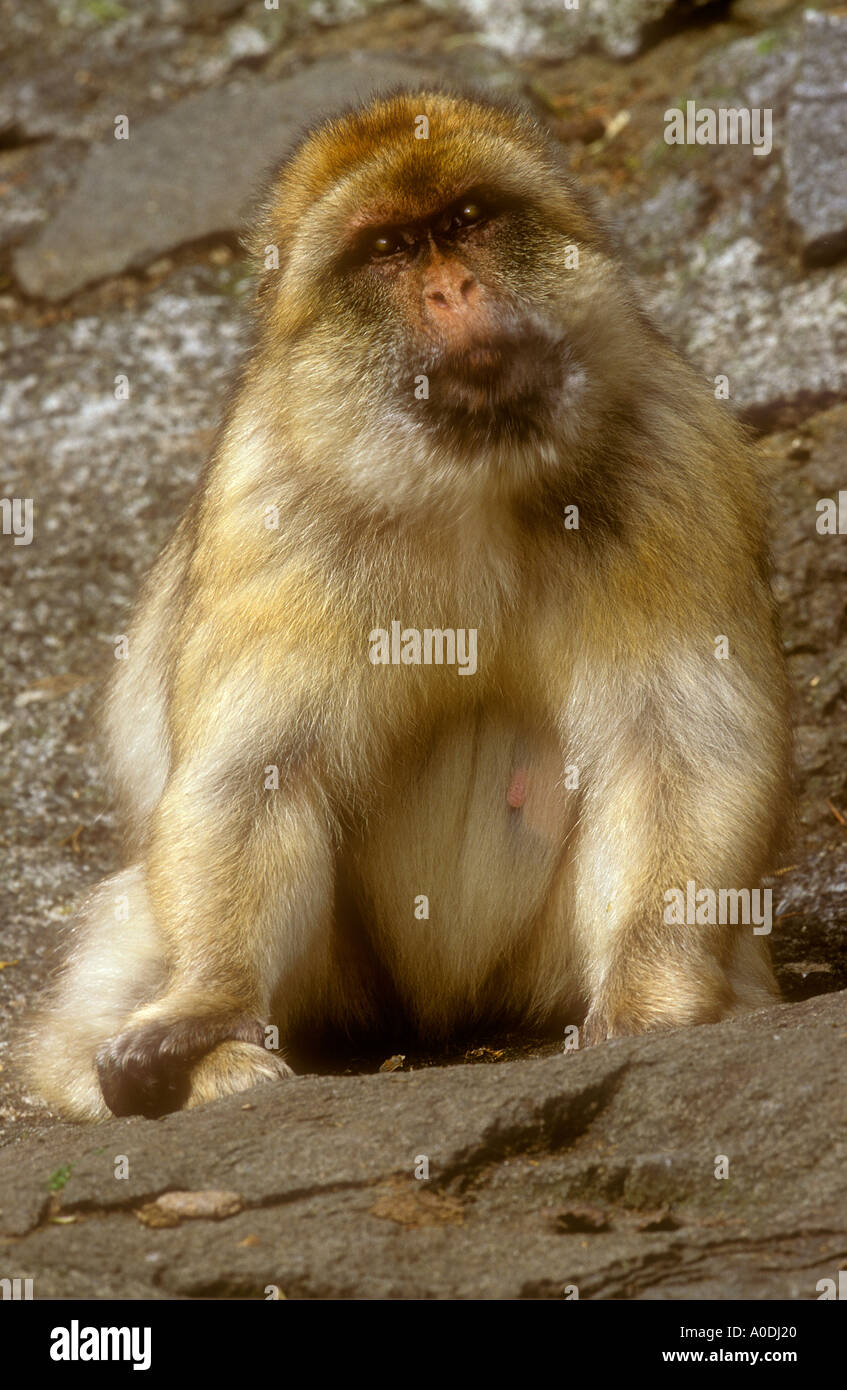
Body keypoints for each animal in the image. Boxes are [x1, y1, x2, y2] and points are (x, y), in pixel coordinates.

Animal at [25, 88, 791, 1122]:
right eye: (388, 248)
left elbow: (676, 748)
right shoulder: (271, 510)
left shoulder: (673, 458)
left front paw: (653, 1001)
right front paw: (205, 1007)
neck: (469, 482)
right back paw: (199, 1069)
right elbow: (256, 776)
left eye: (466, 221)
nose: (453, 292)